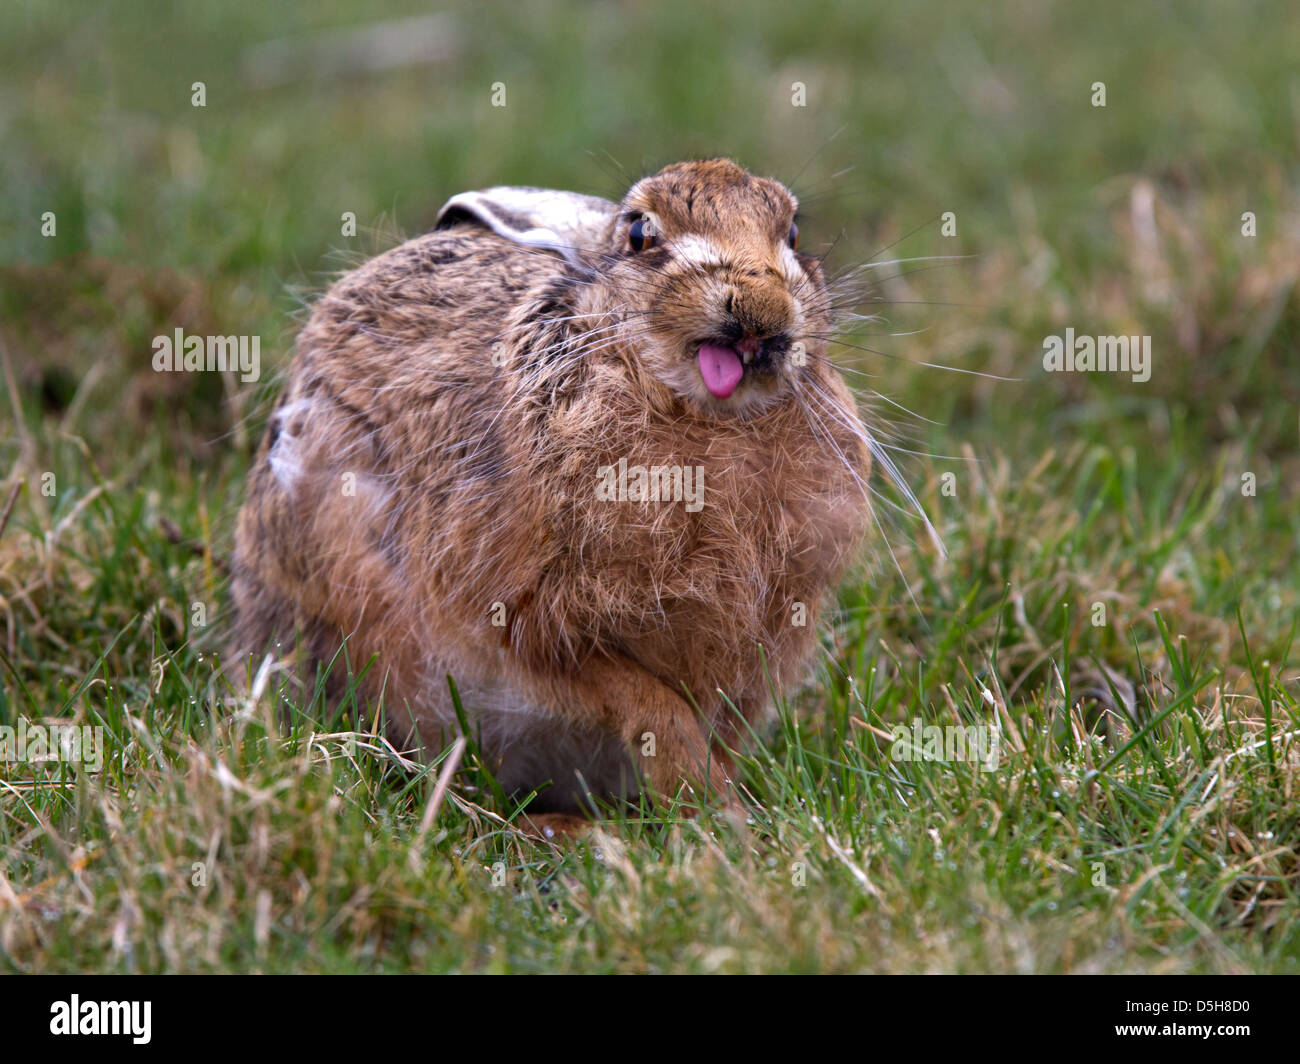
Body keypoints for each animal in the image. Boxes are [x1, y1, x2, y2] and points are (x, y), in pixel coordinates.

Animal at [230, 159, 873, 833]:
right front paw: (714, 809)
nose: (761, 306)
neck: (706, 417)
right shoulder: (528, 625)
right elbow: (652, 706)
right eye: (640, 234)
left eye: (793, 235)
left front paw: (722, 810)